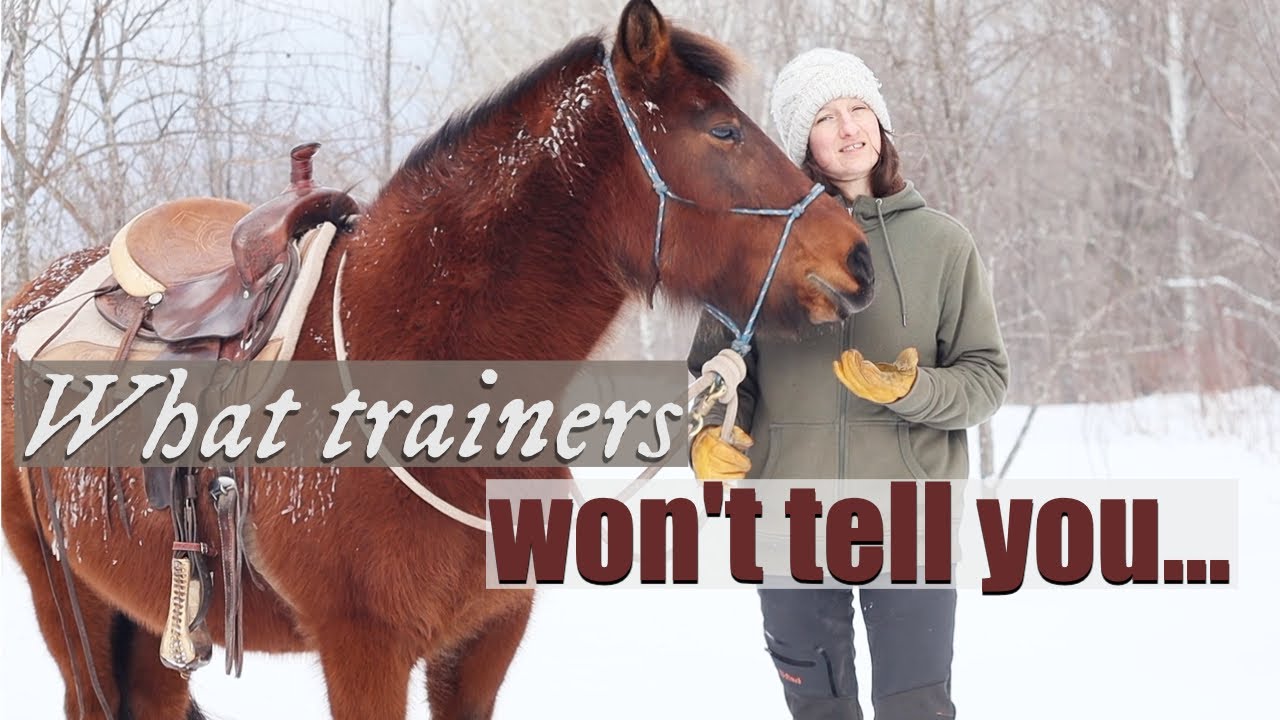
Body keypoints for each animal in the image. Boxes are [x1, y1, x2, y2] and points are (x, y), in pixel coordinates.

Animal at [0, 2, 874, 718]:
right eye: (721, 130)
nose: (858, 259)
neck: (415, 367)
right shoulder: (363, 648)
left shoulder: (482, 641)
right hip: (66, 602)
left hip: (154, 616)